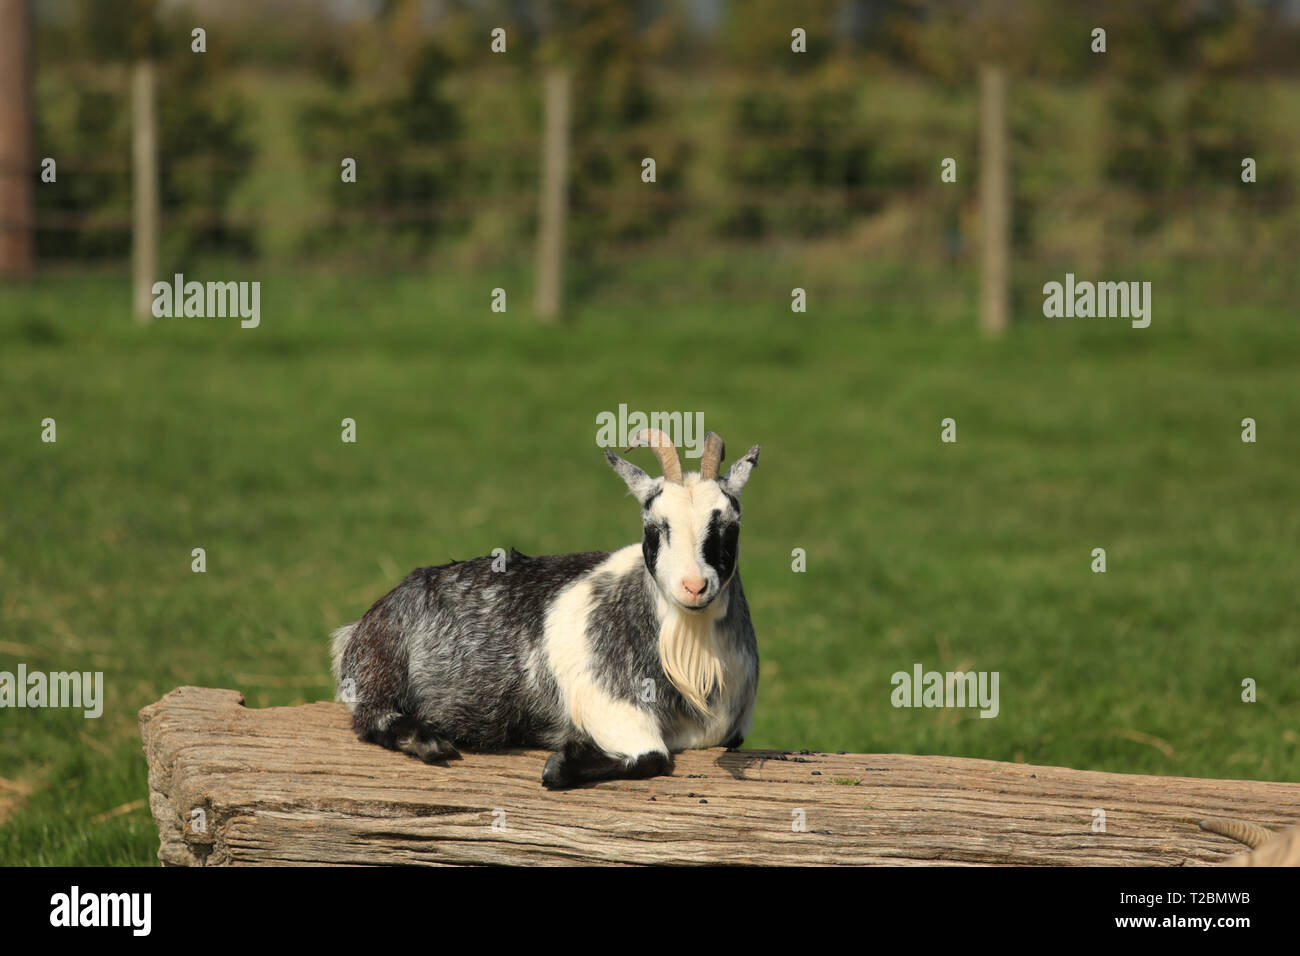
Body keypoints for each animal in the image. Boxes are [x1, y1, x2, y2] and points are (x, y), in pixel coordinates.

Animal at [330, 428, 761, 789]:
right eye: (654, 526)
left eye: (730, 527)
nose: (695, 585)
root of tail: (357, 628)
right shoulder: (607, 702)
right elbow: (653, 756)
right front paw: (562, 764)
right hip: (380, 666)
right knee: (370, 717)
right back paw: (428, 742)